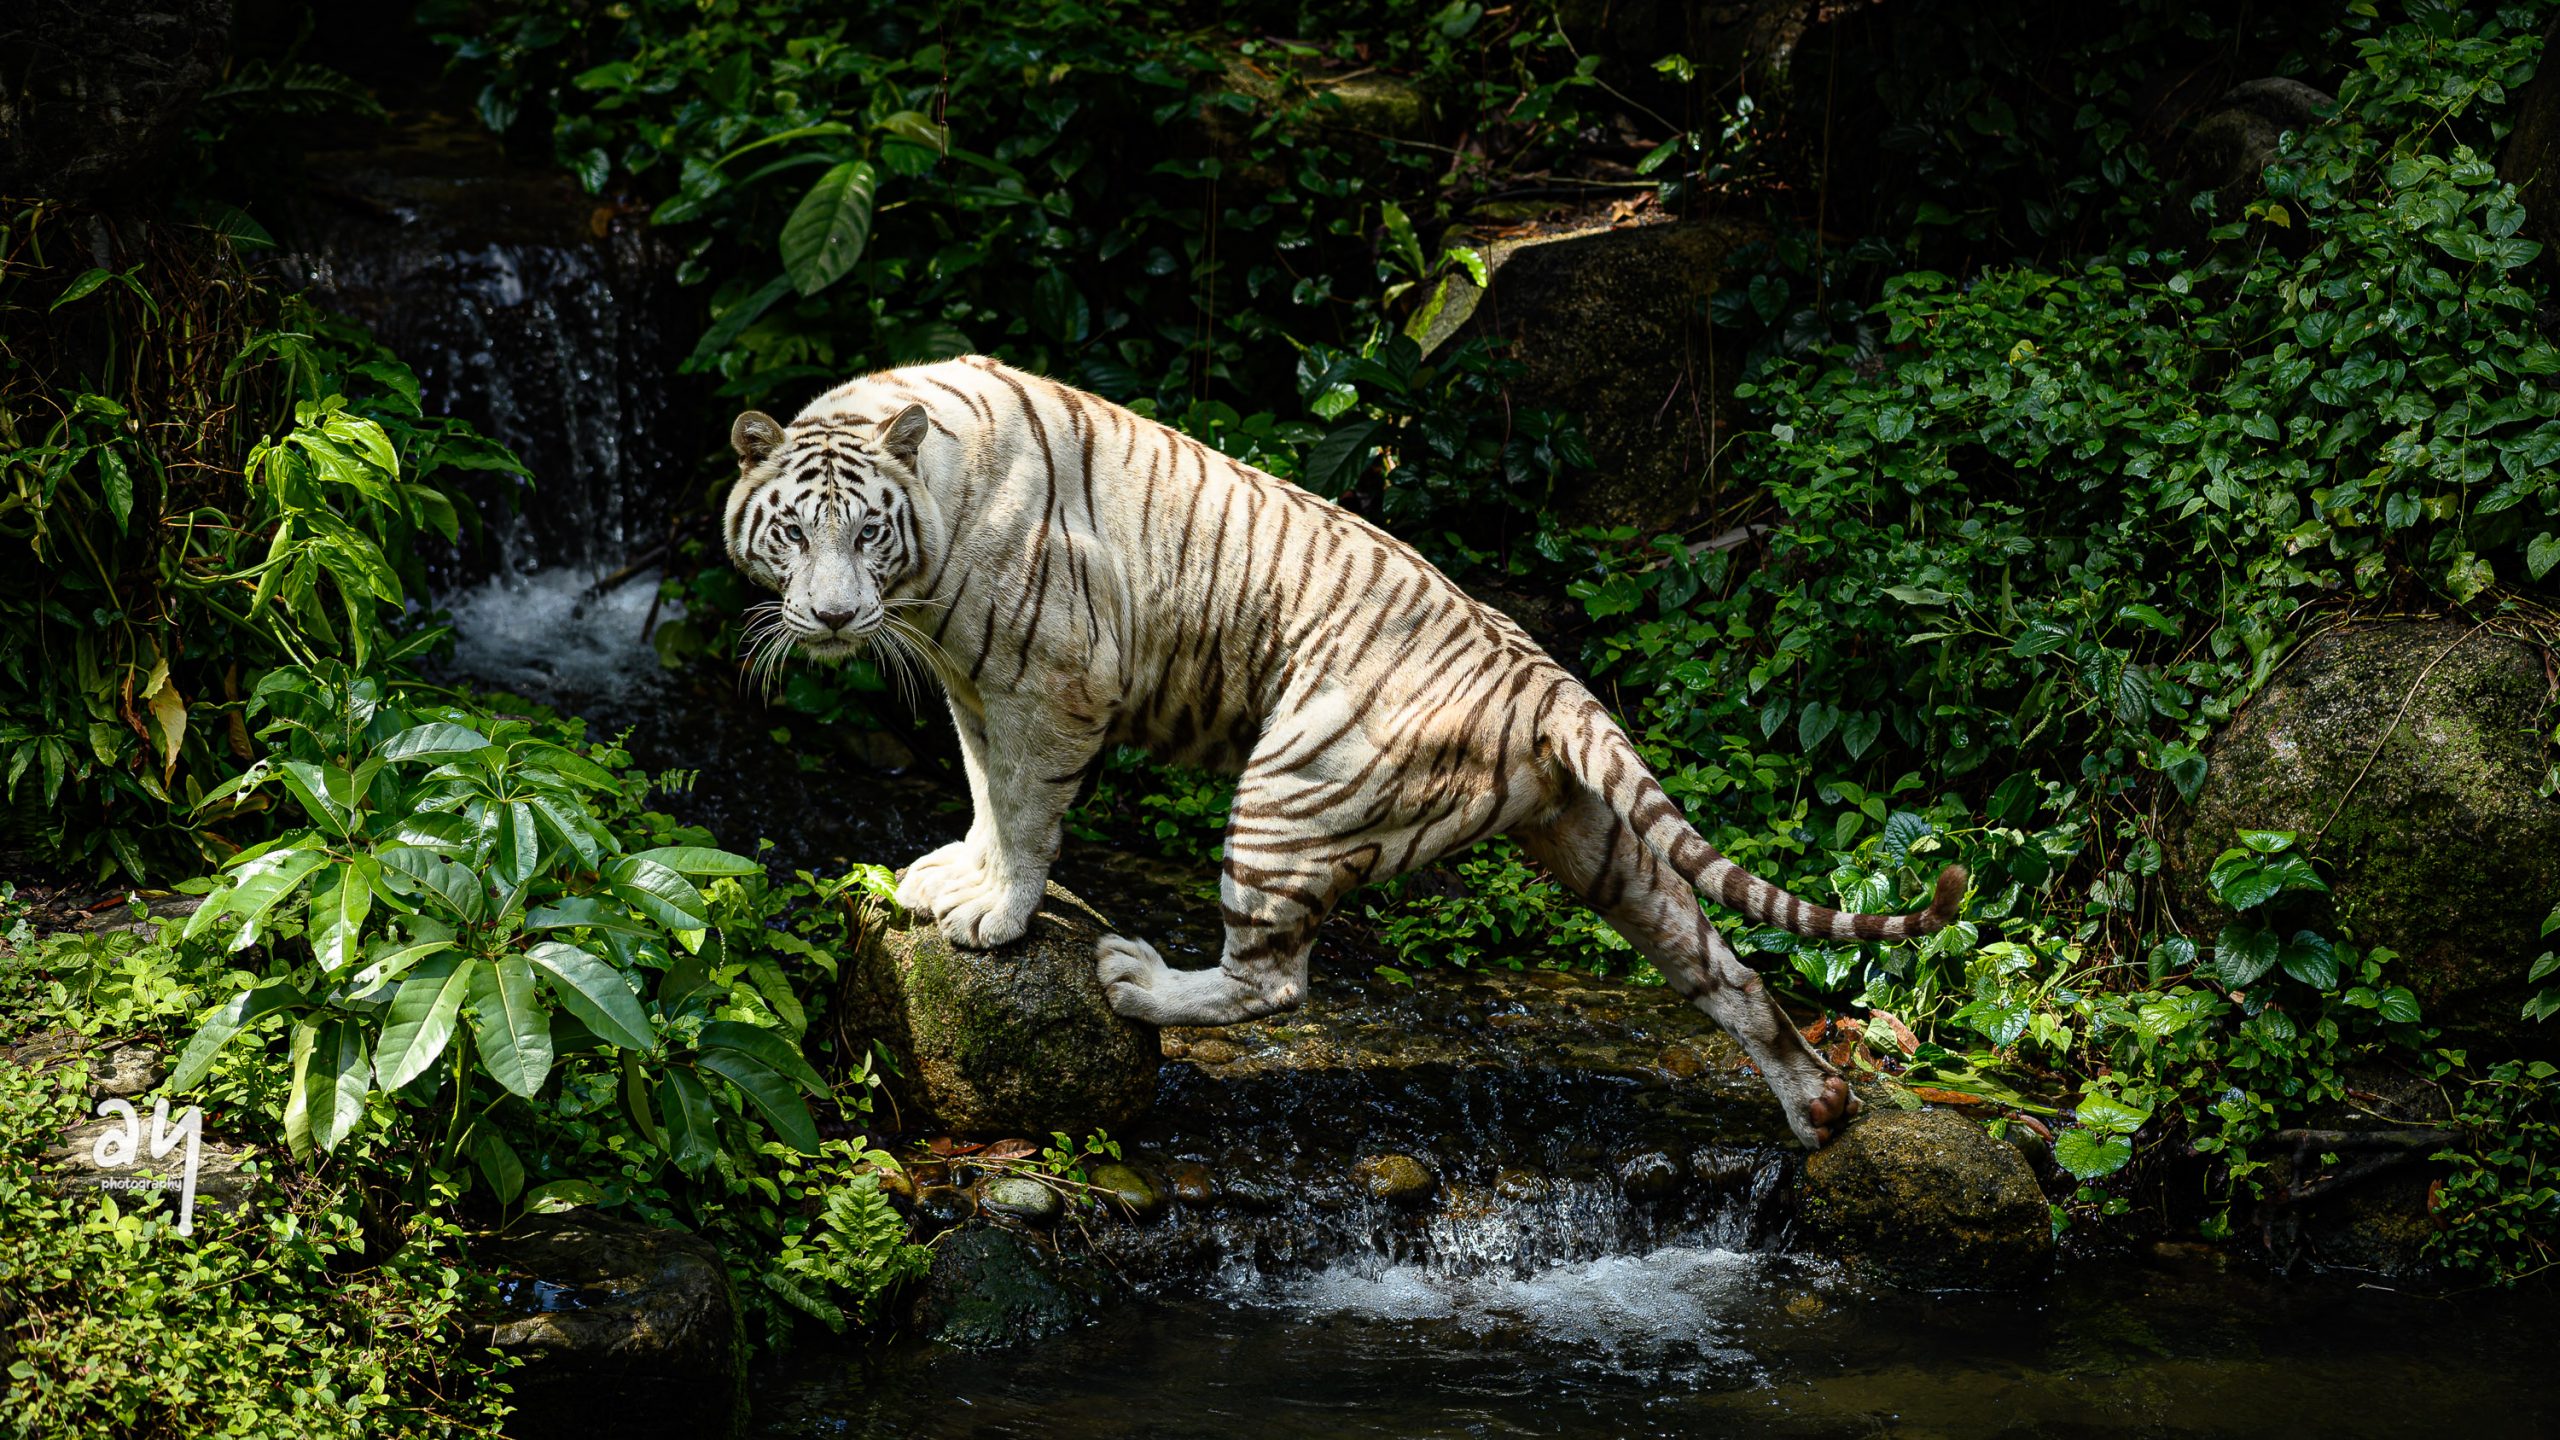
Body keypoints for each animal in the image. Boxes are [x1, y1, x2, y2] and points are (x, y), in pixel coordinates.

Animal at [723, 355, 1964, 1148]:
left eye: (866, 532)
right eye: (795, 533)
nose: (832, 617)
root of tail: (1544, 674)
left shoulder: (1052, 682)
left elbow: (1027, 809)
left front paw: (997, 913)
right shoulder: (974, 684)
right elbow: (986, 791)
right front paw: (955, 877)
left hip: (1289, 792)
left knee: (1273, 980)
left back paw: (1138, 980)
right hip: (1596, 843)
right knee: (1724, 970)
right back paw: (1816, 1109)